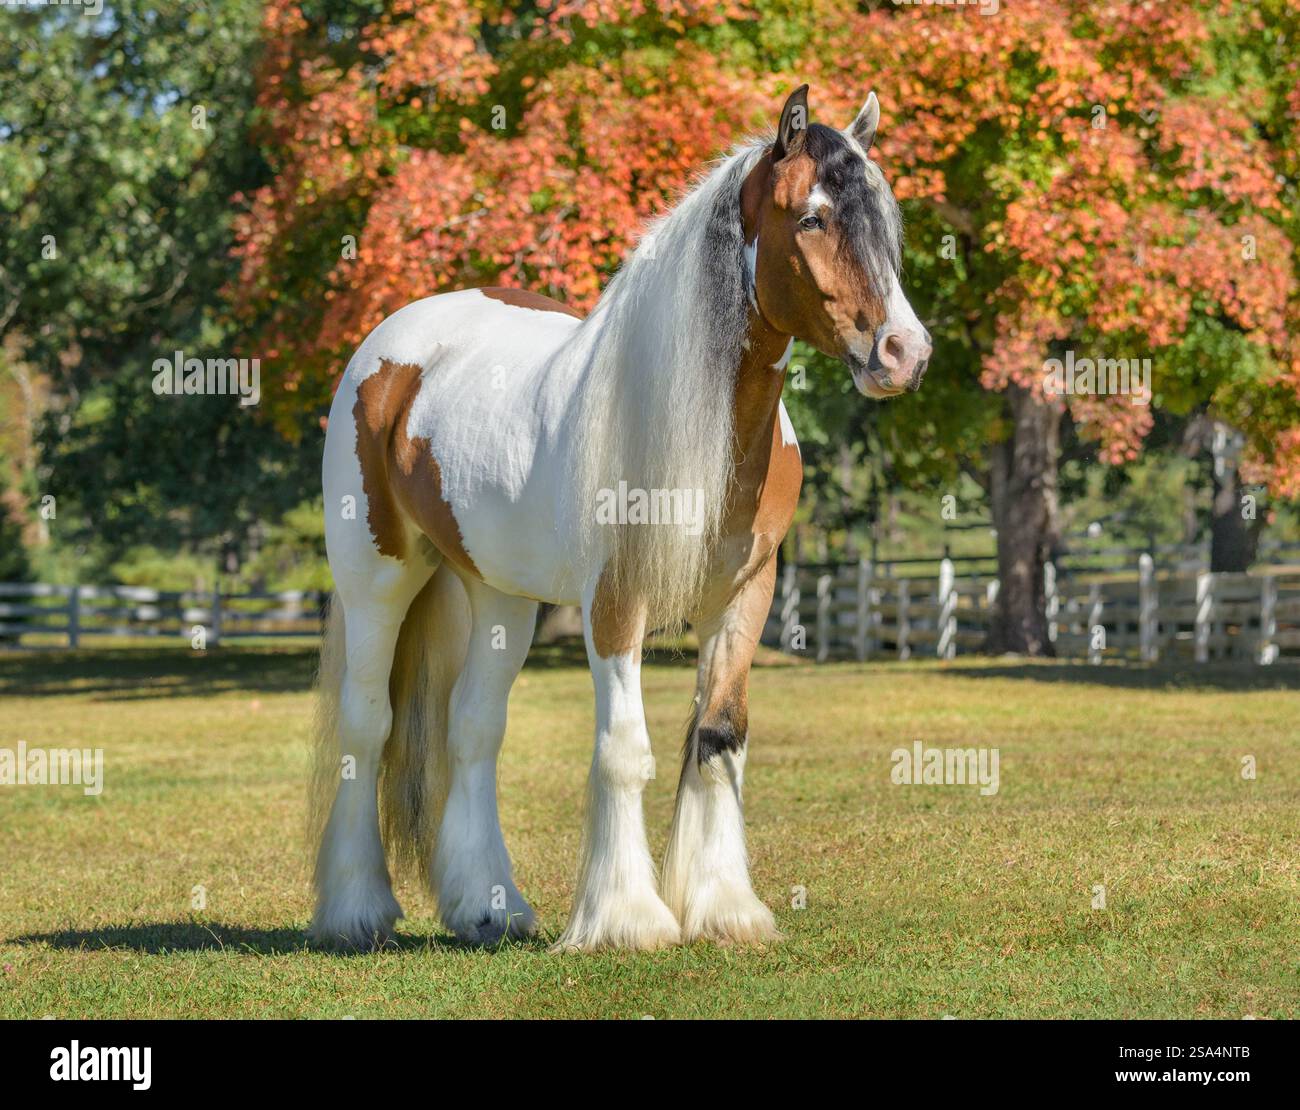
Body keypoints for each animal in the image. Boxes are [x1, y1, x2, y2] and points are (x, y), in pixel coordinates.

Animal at [309, 84, 931, 953]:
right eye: (811, 217)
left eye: (883, 215)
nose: (905, 353)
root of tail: (393, 347)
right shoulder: (615, 601)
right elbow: (624, 751)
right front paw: (629, 918)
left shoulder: (746, 595)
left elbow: (718, 739)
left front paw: (724, 907)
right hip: (377, 581)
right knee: (367, 725)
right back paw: (356, 909)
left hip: (502, 596)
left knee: (474, 730)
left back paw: (489, 907)